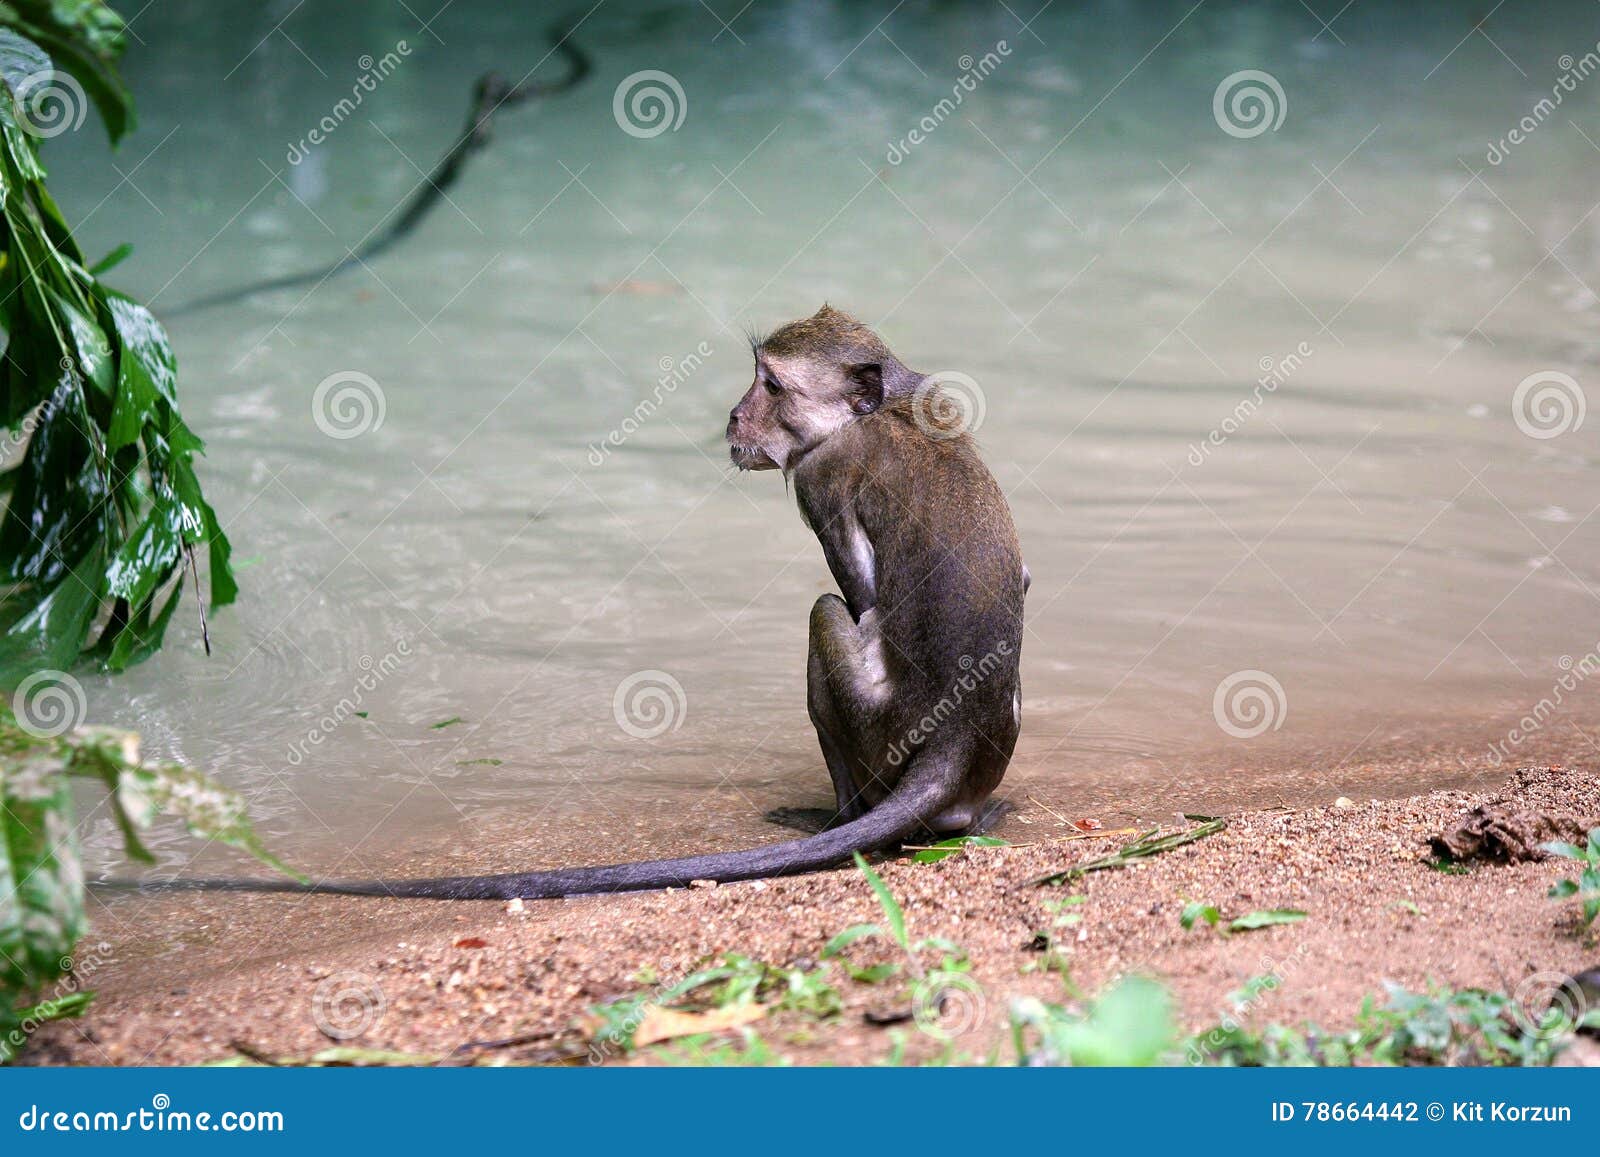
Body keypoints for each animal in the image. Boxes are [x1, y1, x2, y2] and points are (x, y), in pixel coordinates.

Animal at [124, 306, 1026, 901]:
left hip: (879, 724)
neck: (886, 407)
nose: (734, 412)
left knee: (823, 612)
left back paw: (839, 815)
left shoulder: (821, 477)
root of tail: (955, 736)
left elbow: (860, 598)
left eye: (770, 384)